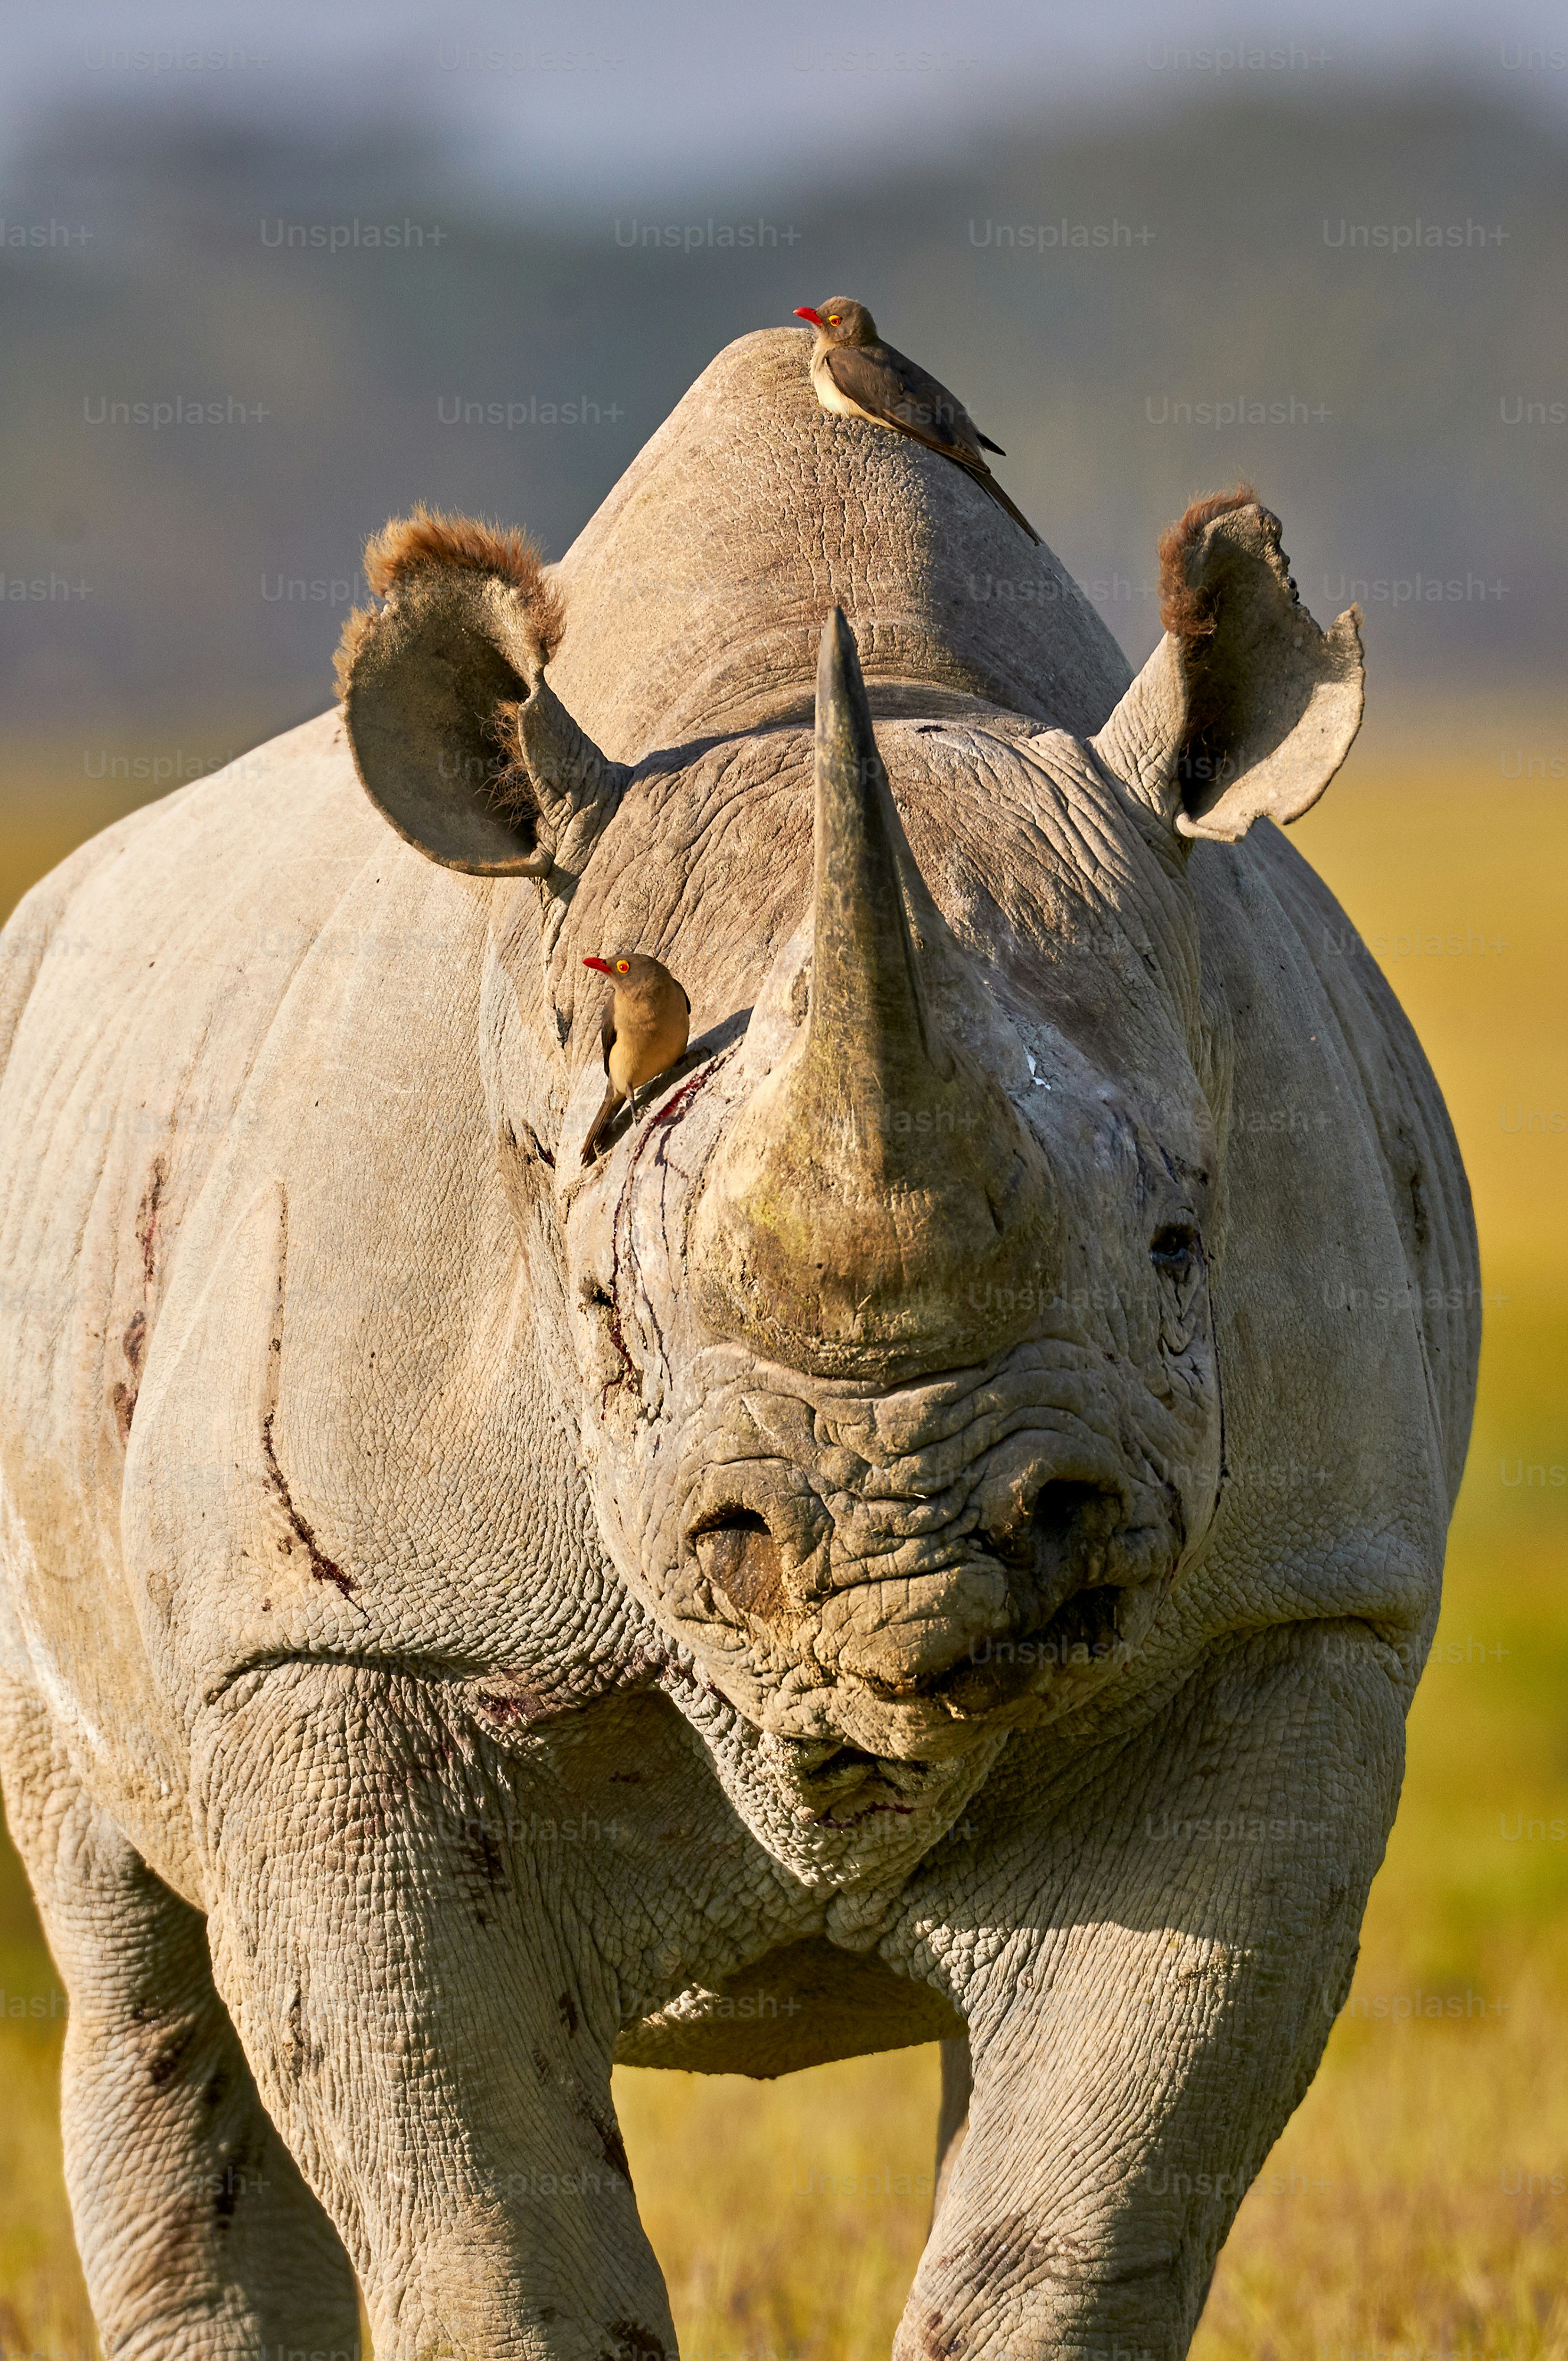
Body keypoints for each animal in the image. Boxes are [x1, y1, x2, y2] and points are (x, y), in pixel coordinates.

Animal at [0, 326, 1478, 2361]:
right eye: (601, 1316)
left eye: (1185, 1246)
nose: (904, 1557)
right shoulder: (332, 1640)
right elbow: (487, 2228)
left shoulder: (1289, 1617)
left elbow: (1079, 2215)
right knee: (131, 1948)